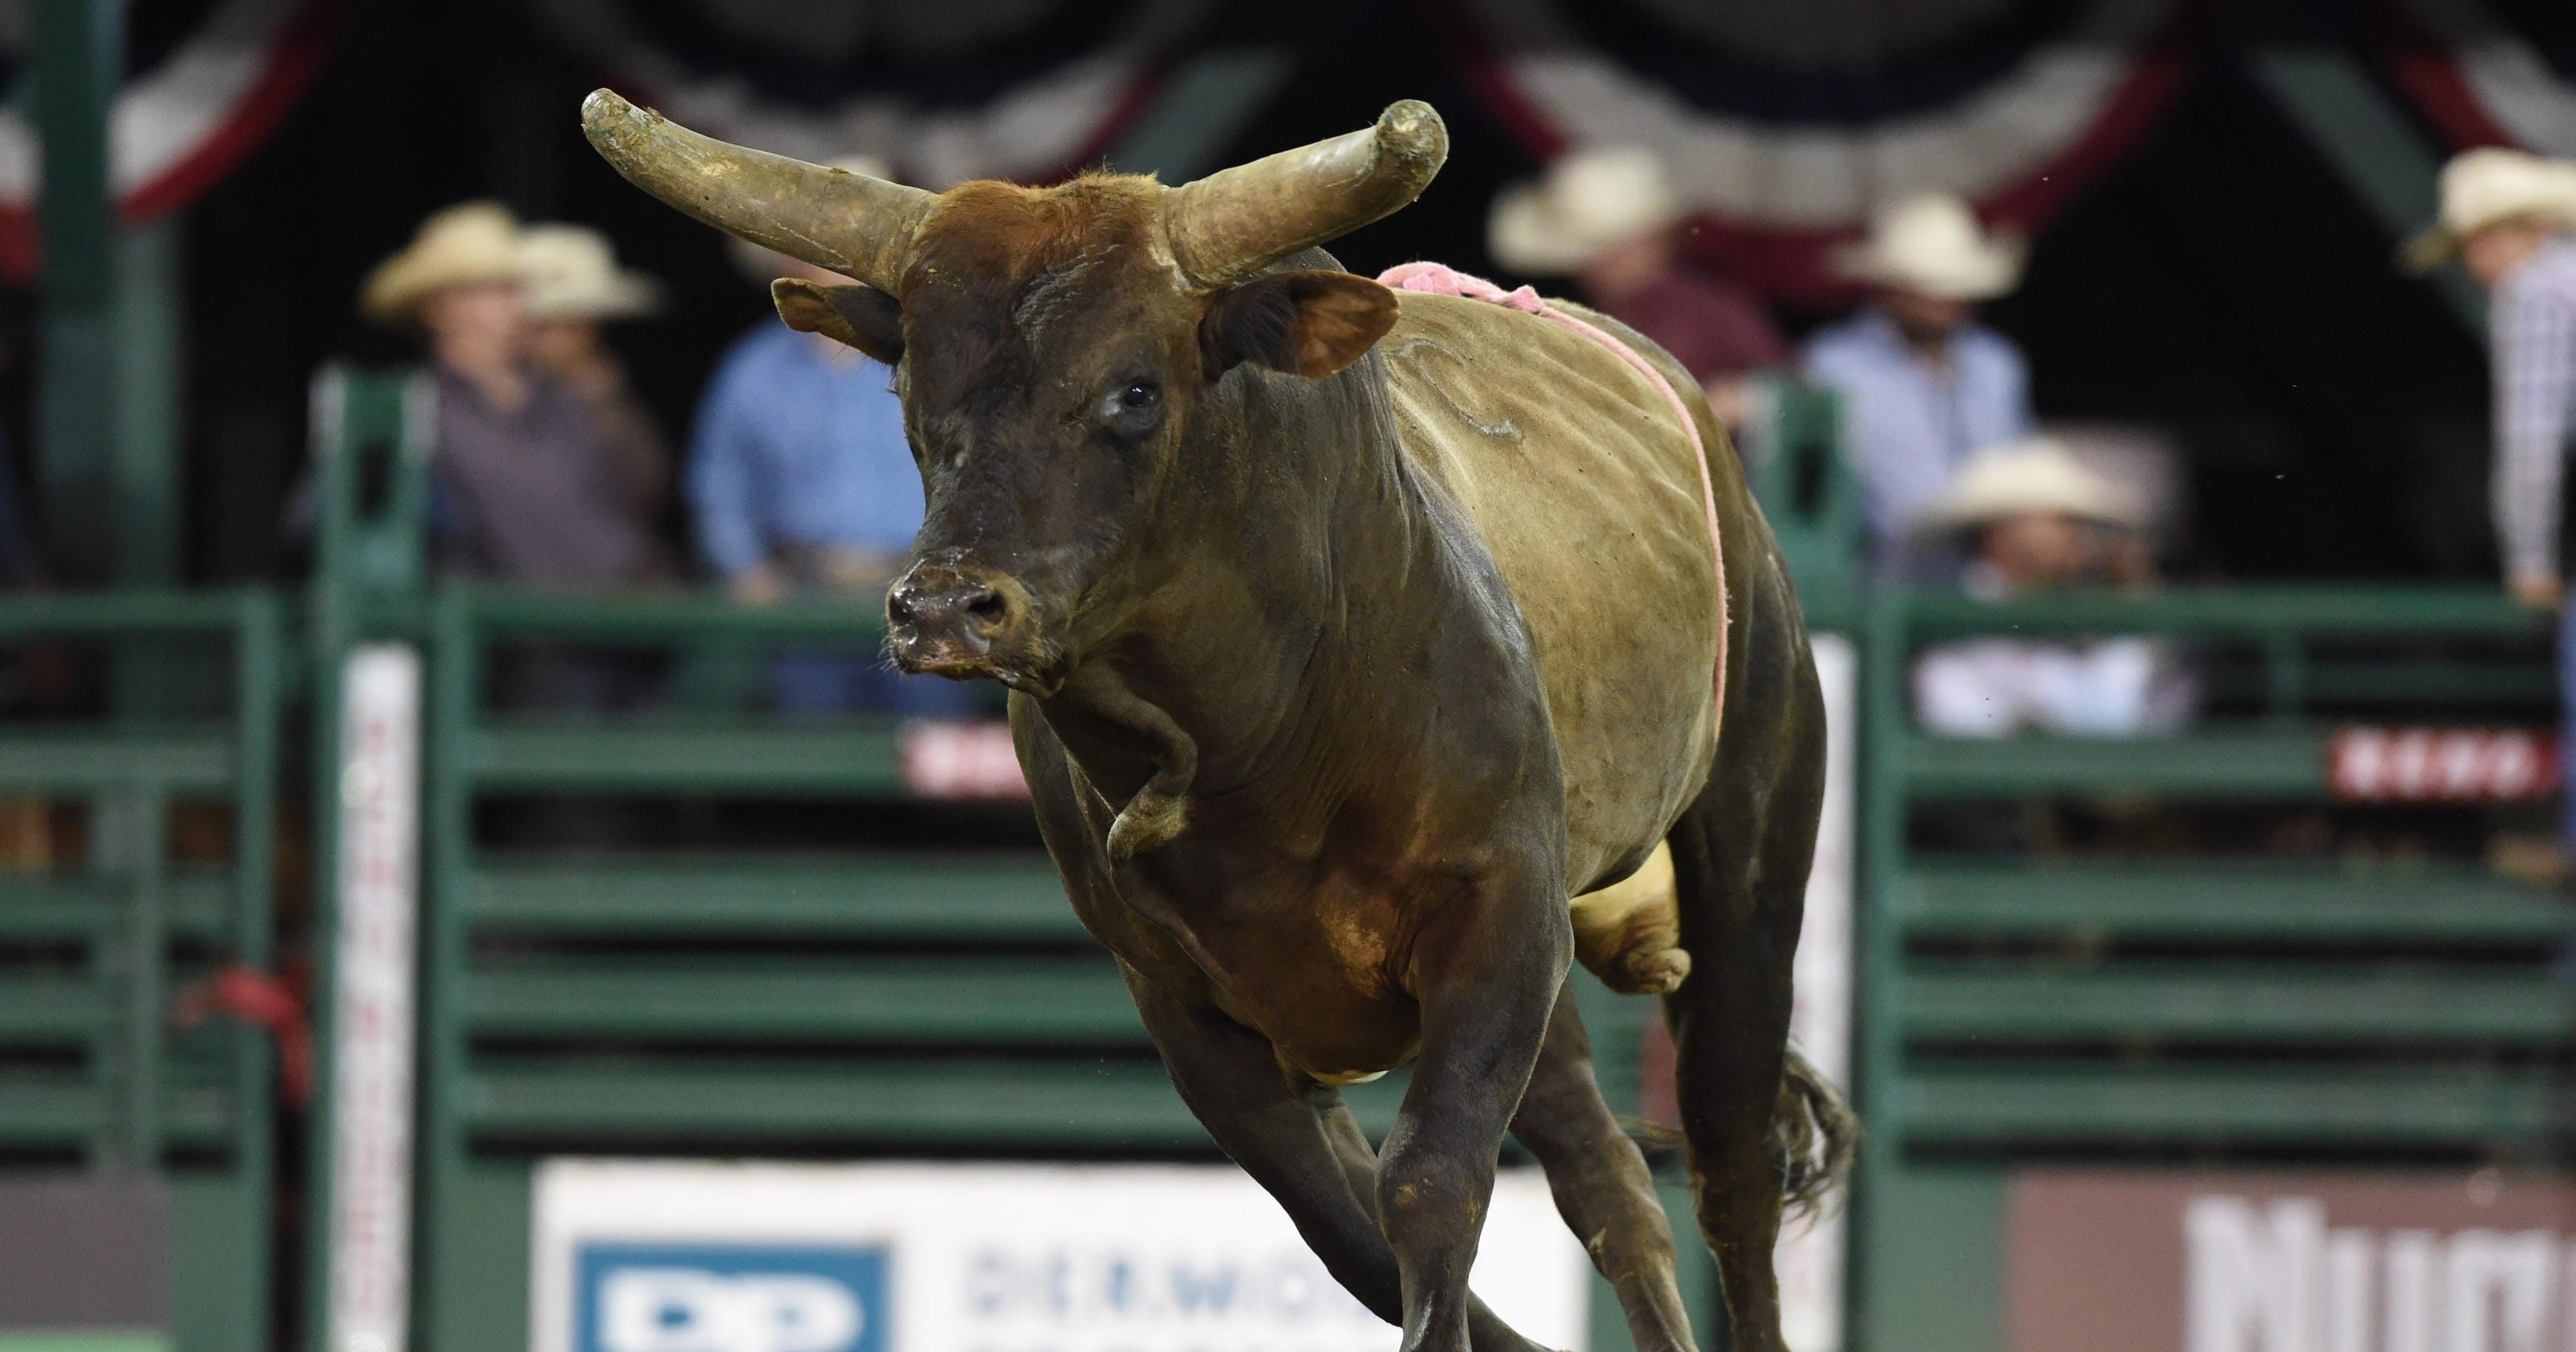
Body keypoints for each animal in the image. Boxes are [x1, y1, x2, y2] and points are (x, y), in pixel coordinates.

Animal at [582, 90, 1852, 1352]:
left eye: (1134, 390)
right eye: (909, 388)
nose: (945, 609)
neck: (1259, 741)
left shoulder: (1497, 916)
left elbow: (1429, 1186)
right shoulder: (1188, 1005)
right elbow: (1345, 1229)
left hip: (1749, 867)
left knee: (1731, 1165)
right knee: (1607, 1177)